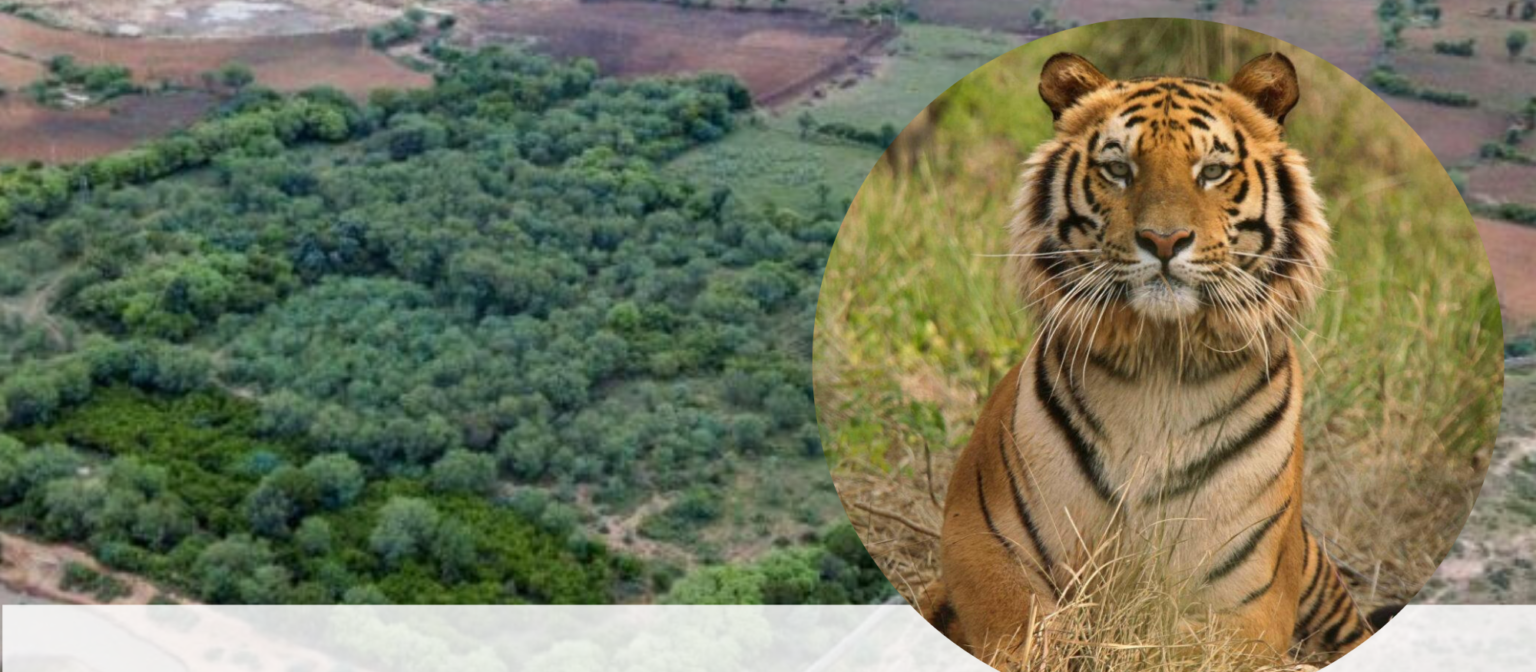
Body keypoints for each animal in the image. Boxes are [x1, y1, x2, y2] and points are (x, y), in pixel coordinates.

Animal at [918, 52, 1403, 668]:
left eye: (1212, 171)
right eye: (1118, 168)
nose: (1164, 240)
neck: (1159, 364)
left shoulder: (1245, 602)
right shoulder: (981, 545)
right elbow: (1023, 632)